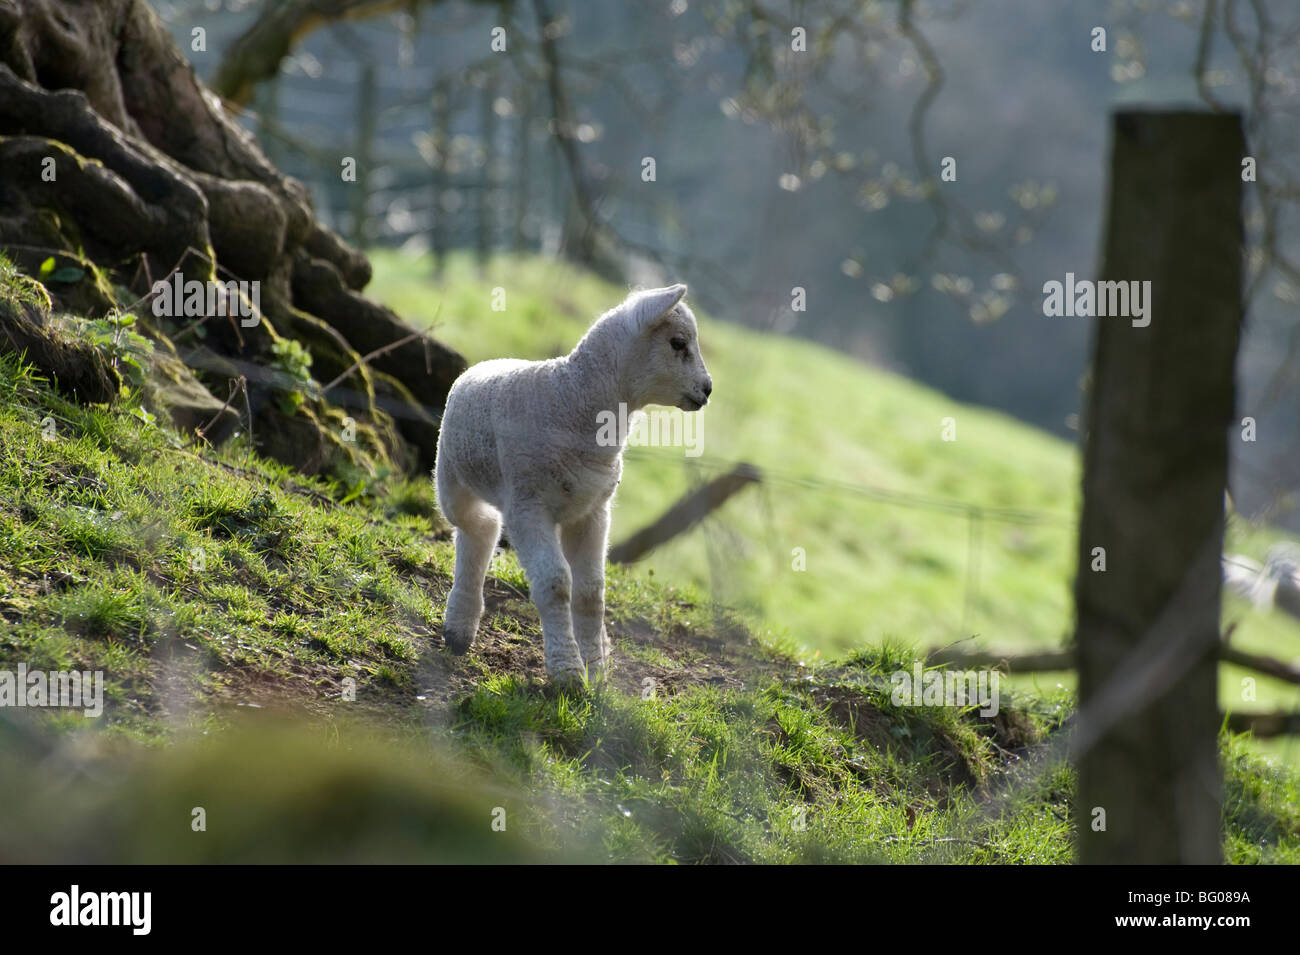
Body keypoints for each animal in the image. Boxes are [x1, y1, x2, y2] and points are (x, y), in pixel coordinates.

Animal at [434, 284, 713, 685]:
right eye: (678, 343)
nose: (707, 389)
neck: (573, 398)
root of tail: (488, 362)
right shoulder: (528, 506)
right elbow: (555, 585)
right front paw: (567, 671)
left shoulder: (593, 511)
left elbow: (590, 594)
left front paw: (596, 670)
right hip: (452, 477)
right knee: (477, 528)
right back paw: (459, 624)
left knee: (482, 531)